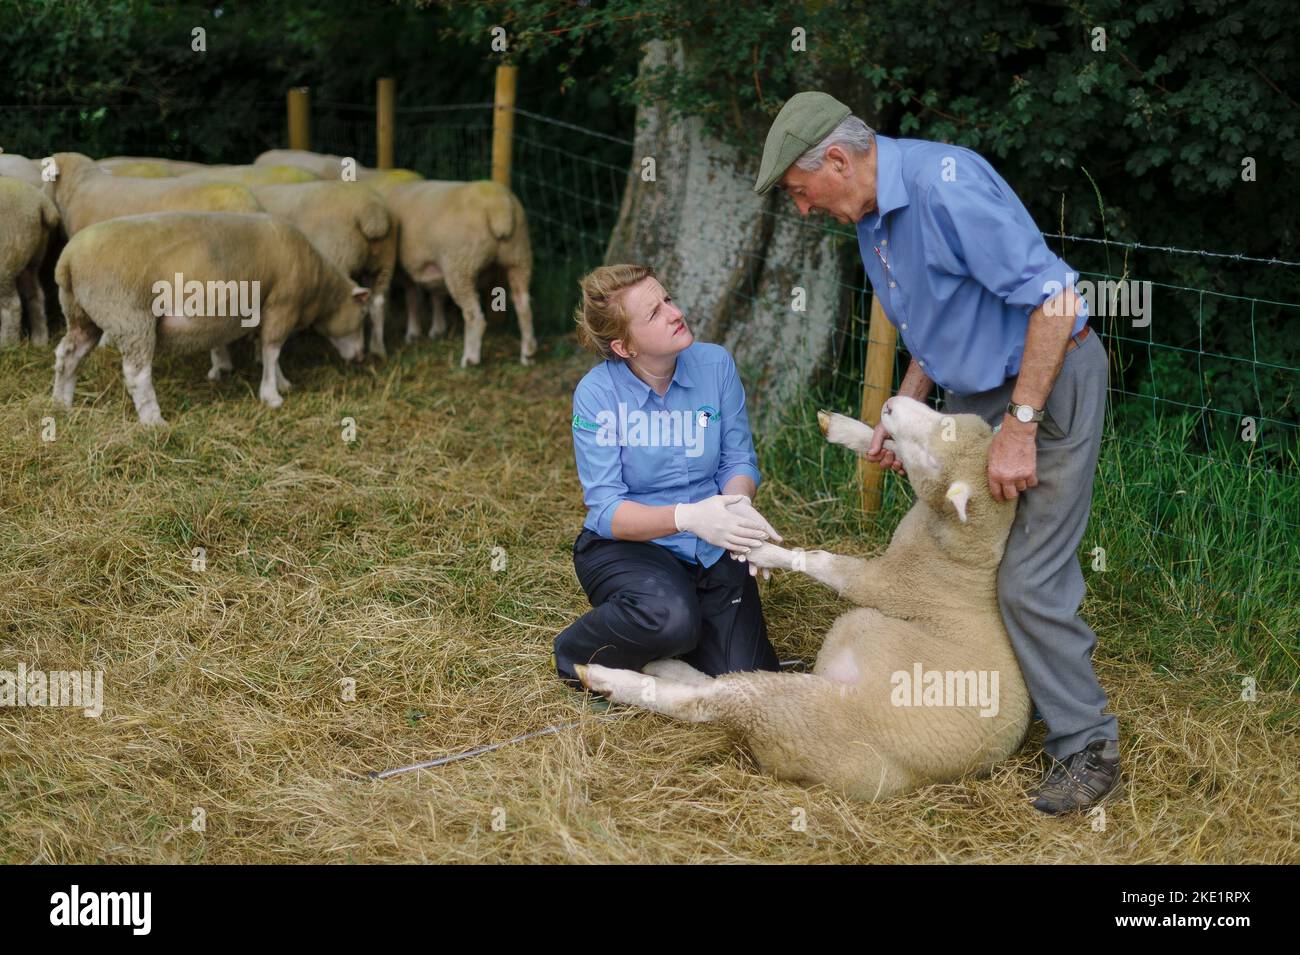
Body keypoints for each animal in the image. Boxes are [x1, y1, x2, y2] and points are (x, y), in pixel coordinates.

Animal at [0, 178, 60, 347]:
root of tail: (41, 203)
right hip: (31, 257)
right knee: (35, 295)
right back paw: (39, 340)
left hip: (7, 256)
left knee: (12, 305)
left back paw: (7, 345)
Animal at [52, 211, 370, 425]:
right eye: (362, 317)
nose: (360, 357)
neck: (318, 289)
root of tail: (67, 261)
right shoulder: (282, 305)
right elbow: (271, 351)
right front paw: (272, 396)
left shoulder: (268, 311)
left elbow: (269, 351)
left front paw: (282, 383)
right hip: (130, 316)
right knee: (136, 374)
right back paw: (154, 421)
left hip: (83, 315)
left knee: (67, 355)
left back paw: (62, 403)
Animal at [368, 178, 536, 367]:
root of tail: (499, 205)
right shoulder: (431, 267)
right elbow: (433, 294)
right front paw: (435, 329)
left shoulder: (402, 268)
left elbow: (412, 297)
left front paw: (413, 332)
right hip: (519, 256)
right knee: (524, 306)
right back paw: (528, 354)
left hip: (460, 265)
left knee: (474, 316)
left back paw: (470, 359)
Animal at [576, 396, 1033, 803]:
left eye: (933, 457)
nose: (890, 404)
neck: (962, 557)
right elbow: (886, 452)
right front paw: (849, 429)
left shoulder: (887, 583)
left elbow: (822, 561)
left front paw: (762, 550)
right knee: (724, 681)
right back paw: (661, 664)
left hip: (801, 710)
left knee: (713, 701)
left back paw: (608, 677)